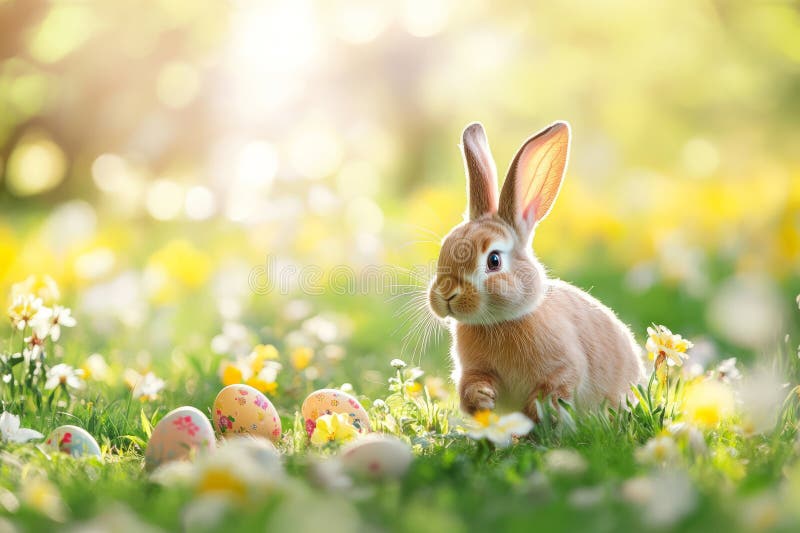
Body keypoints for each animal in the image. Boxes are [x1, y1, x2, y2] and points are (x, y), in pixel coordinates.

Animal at [427, 121, 644, 420]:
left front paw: (534, 413)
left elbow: (554, 388)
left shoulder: (565, 366)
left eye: (493, 260)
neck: (499, 322)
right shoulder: (473, 369)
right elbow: (472, 385)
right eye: (444, 248)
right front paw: (483, 398)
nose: (446, 294)